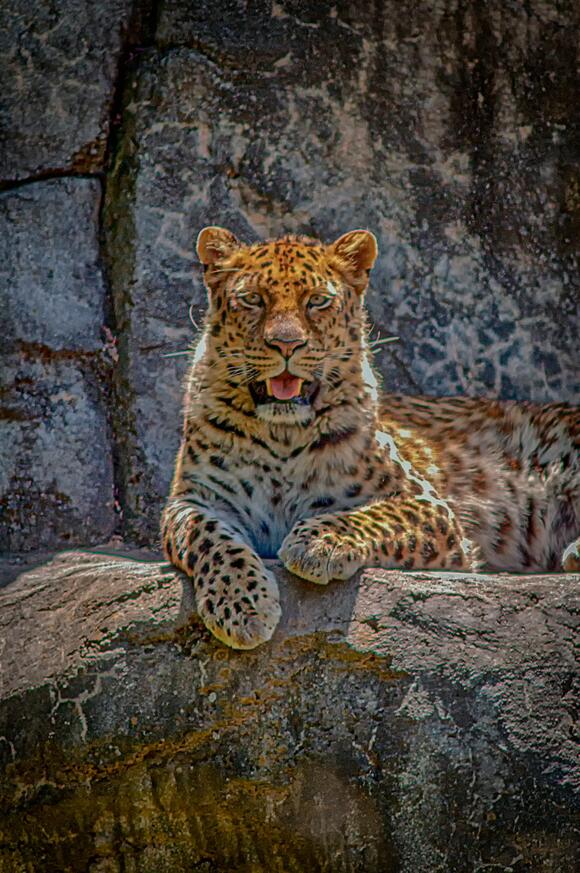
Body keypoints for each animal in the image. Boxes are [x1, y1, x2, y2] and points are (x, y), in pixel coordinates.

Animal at [162, 225, 580, 650]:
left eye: (318, 301)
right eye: (252, 299)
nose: (286, 345)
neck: (282, 434)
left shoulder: (428, 505)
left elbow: (368, 516)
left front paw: (317, 543)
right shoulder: (192, 499)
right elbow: (208, 538)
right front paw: (241, 605)